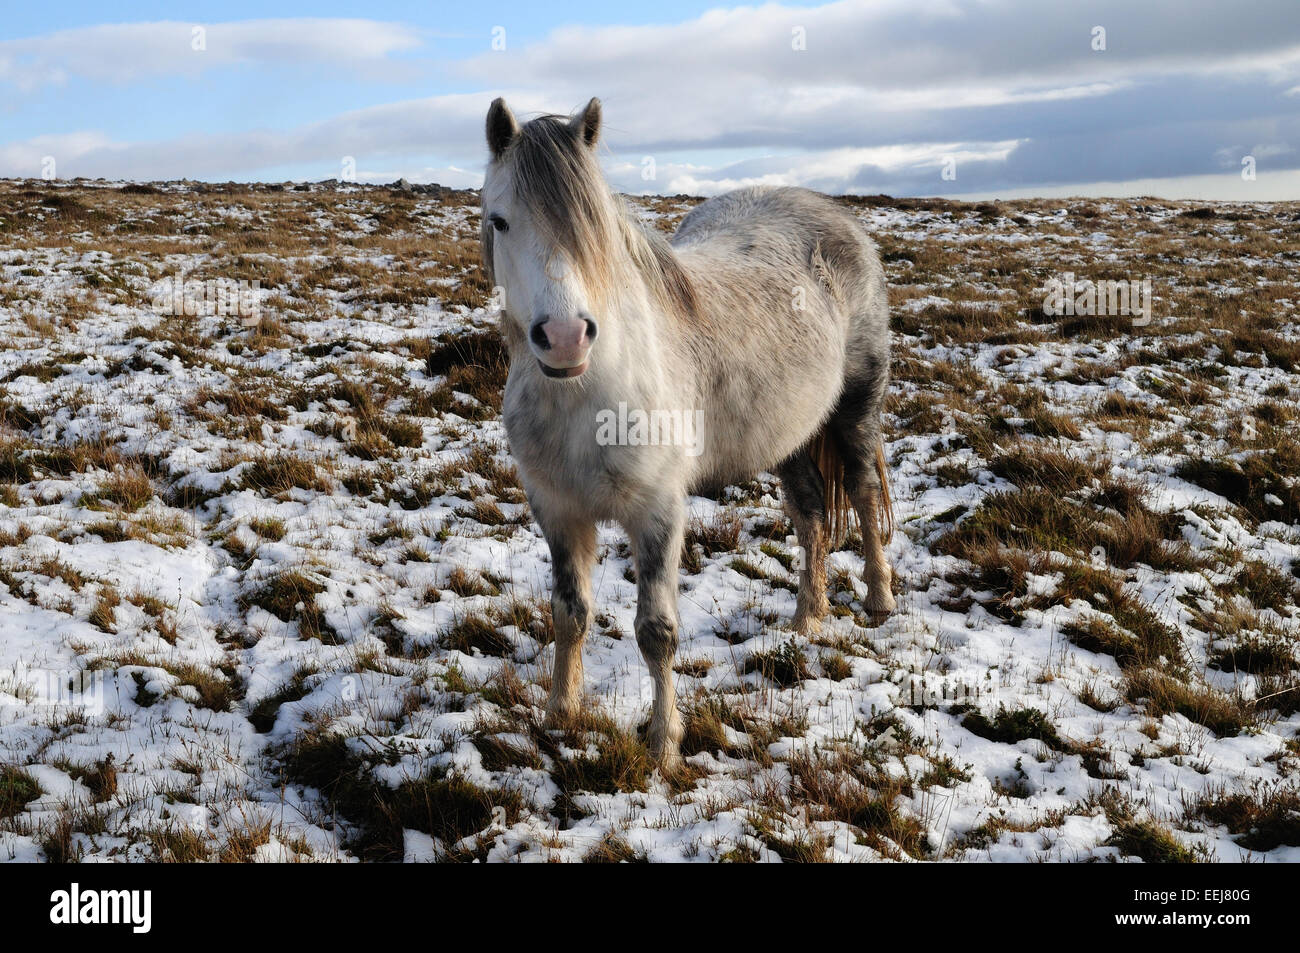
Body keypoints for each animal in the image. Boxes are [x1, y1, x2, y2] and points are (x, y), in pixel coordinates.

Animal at [479, 97, 895, 769]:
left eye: (596, 228)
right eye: (501, 221)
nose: (565, 339)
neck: (587, 395)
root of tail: (827, 209)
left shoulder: (658, 512)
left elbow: (656, 633)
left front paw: (663, 747)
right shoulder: (557, 509)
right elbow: (569, 613)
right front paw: (560, 715)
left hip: (855, 409)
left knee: (858, 492)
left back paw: (879, 602)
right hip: (787, 435)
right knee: (809, 515)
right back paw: (808, 618)